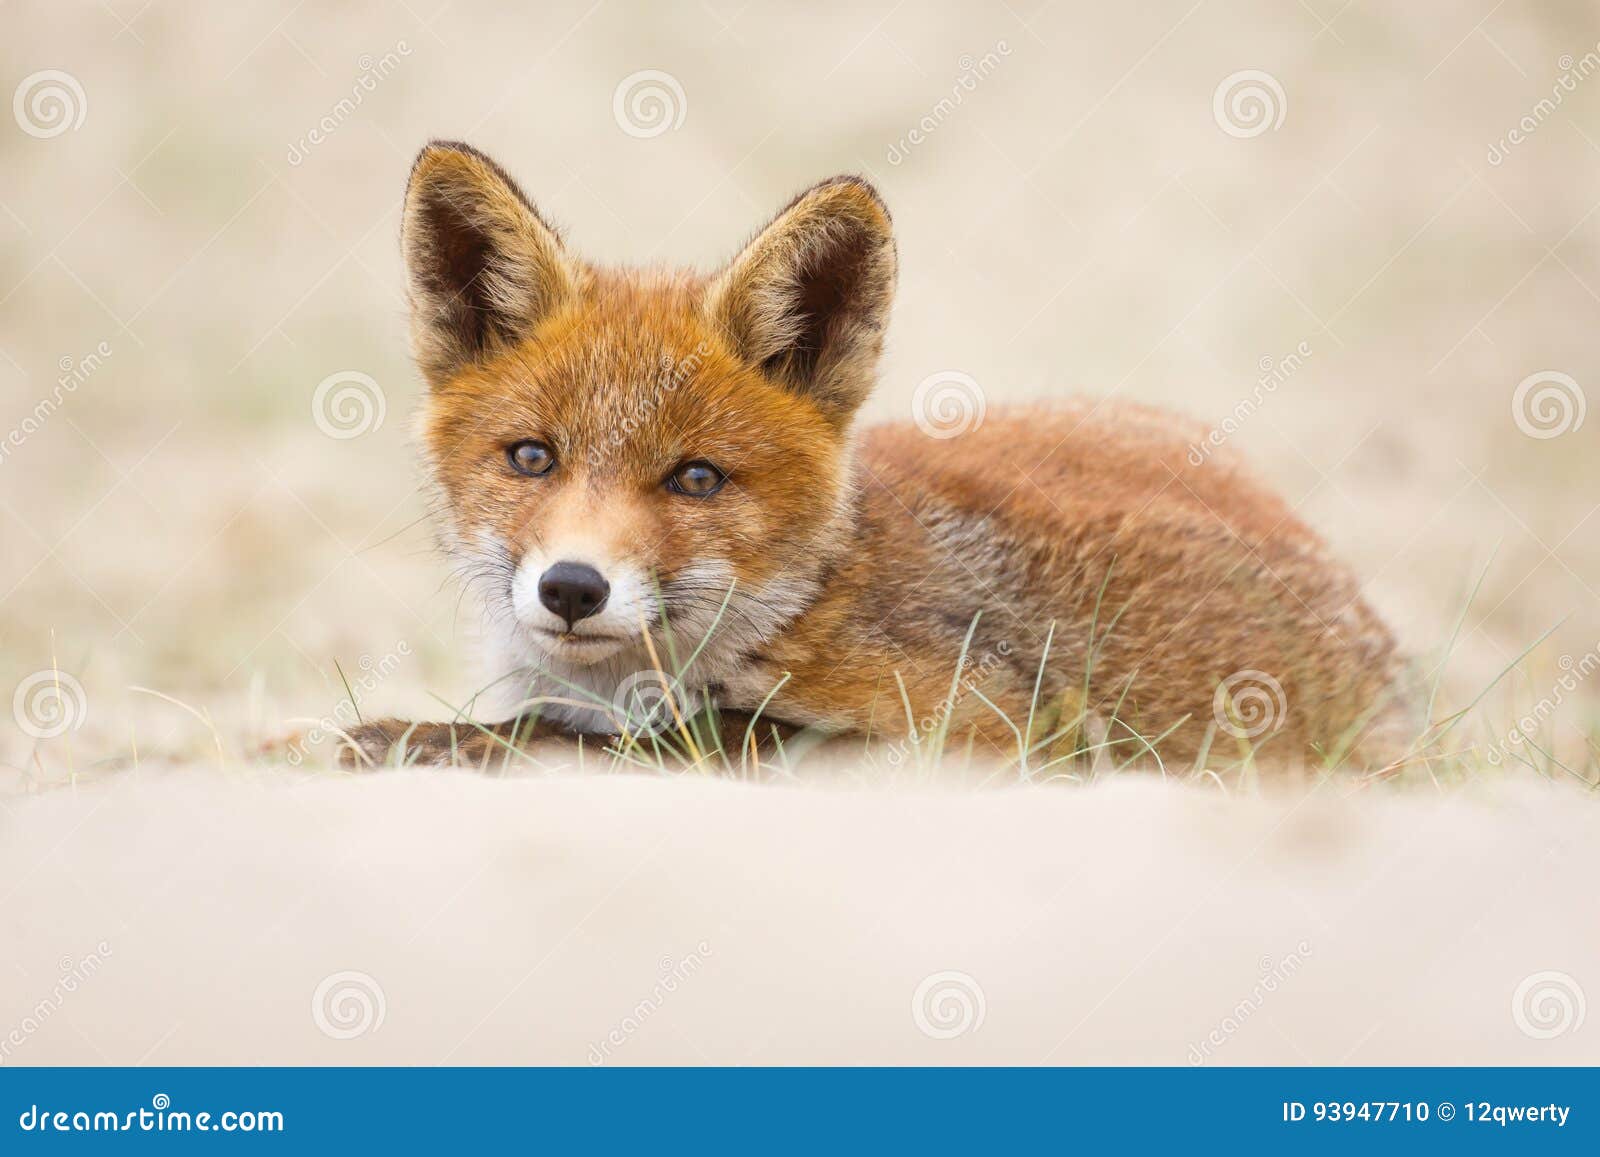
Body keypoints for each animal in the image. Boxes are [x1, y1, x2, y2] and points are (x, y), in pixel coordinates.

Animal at [339, 140, 1416, 771]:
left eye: (696, 478)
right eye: (531, 457)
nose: (571, 586)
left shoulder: (987, 722)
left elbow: (658, 738)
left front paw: (429, 738)